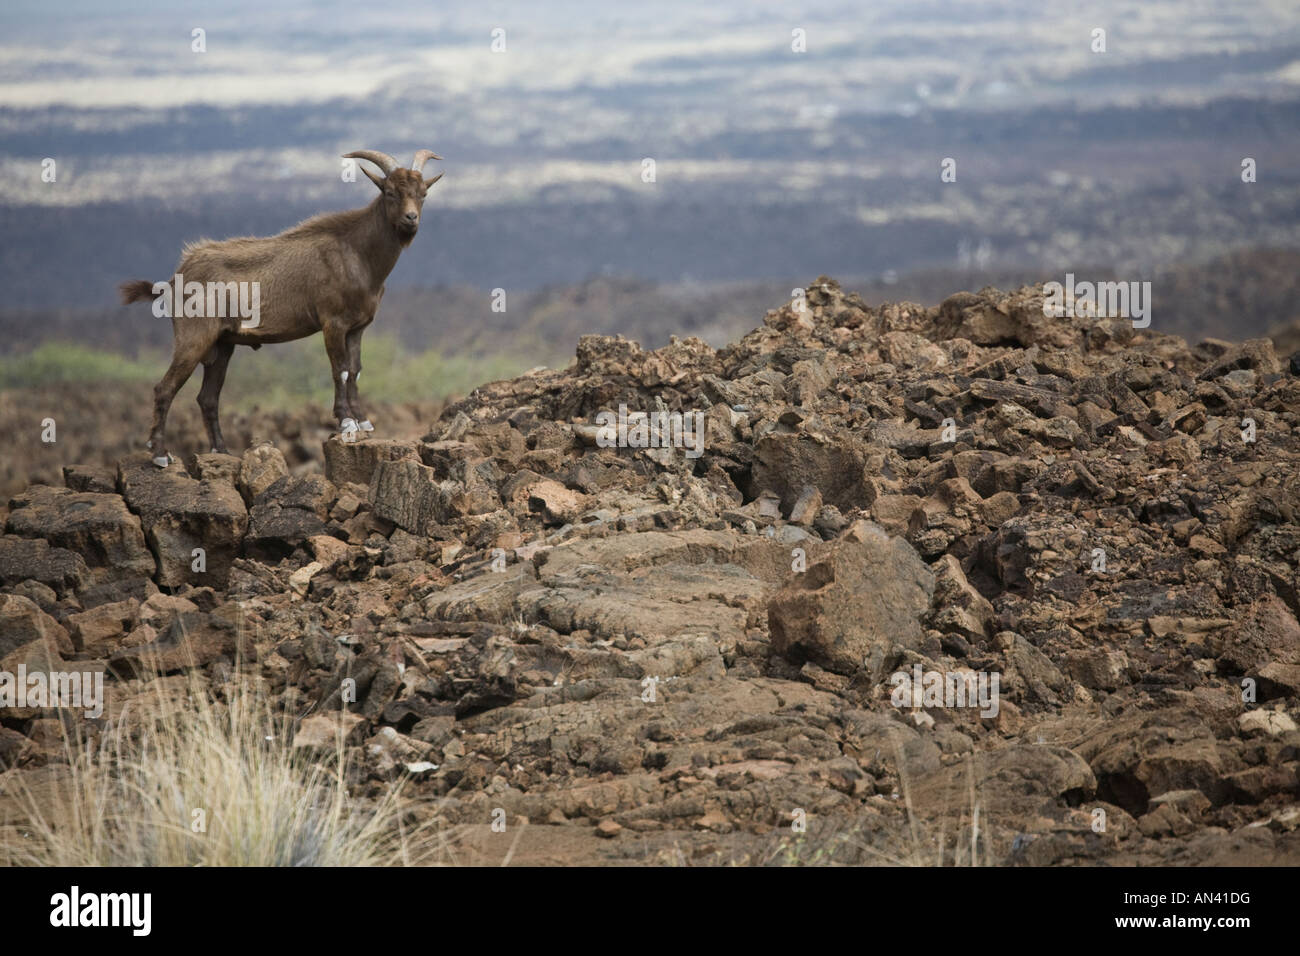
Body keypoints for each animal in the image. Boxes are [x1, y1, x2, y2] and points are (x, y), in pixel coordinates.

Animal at [119, 148, 442, 467]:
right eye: (389, 192)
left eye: (423, 193)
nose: (411, 218)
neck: (358, 253)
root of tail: (173, 280)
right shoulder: (333, 323)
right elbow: (340, 370)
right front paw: (346, 423)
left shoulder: (357, 327)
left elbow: (355, 370)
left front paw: (364, 422)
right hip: (194, 336)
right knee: (165, 389)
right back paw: (161, 455)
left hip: (222, 344)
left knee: (208, 397)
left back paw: (222, 451)